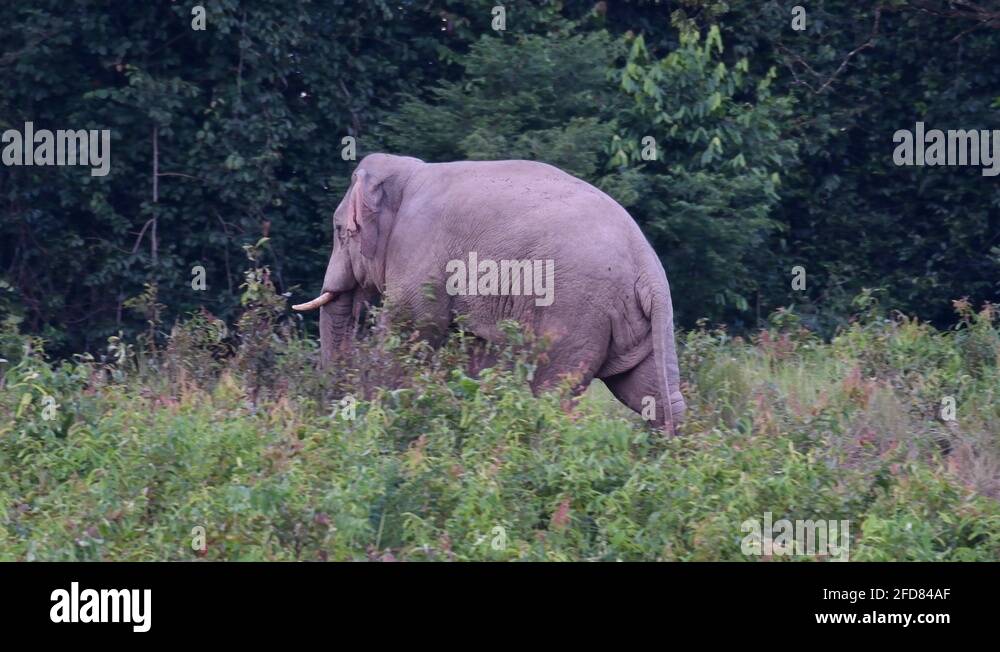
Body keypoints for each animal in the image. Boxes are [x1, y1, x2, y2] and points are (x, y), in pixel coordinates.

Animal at [293, 153, 685, 432]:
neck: (409, 172)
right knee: (649, 394)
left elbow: (412, 330)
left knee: (554, 393)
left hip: (577, 308)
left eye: (340, 231)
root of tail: (649, 267)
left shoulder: (419, 245)